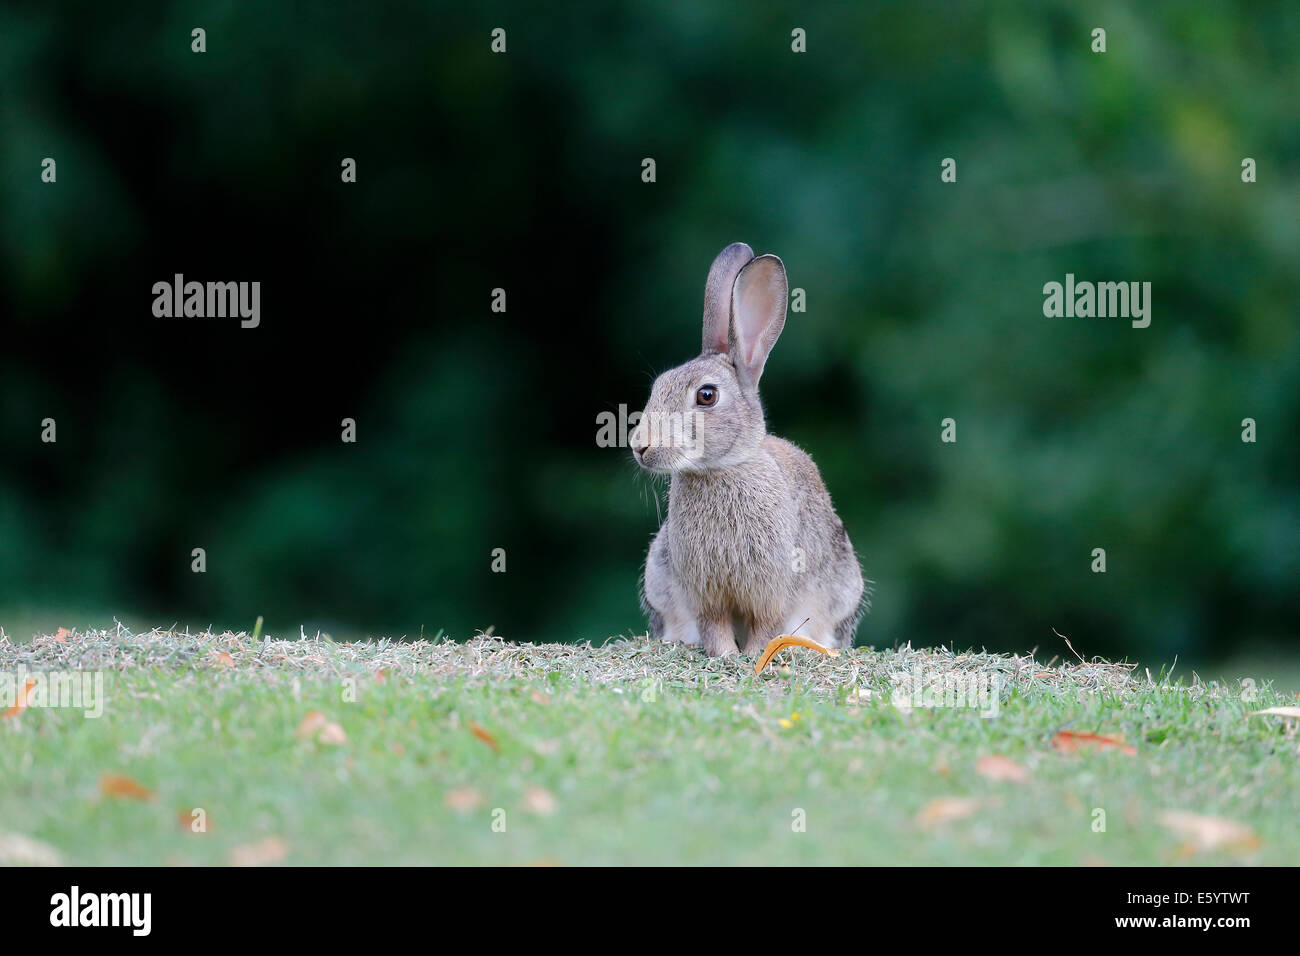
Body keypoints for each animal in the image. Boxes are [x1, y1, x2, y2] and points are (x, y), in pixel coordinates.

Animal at [630, 242, 867, 657]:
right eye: (658, 386)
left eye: (706, 396)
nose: (640, 446)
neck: (721, 469)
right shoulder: (705, 594)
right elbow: (713, 625)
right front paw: (725, 654)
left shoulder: (771, 589)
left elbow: (765, 625)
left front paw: (754, 653)